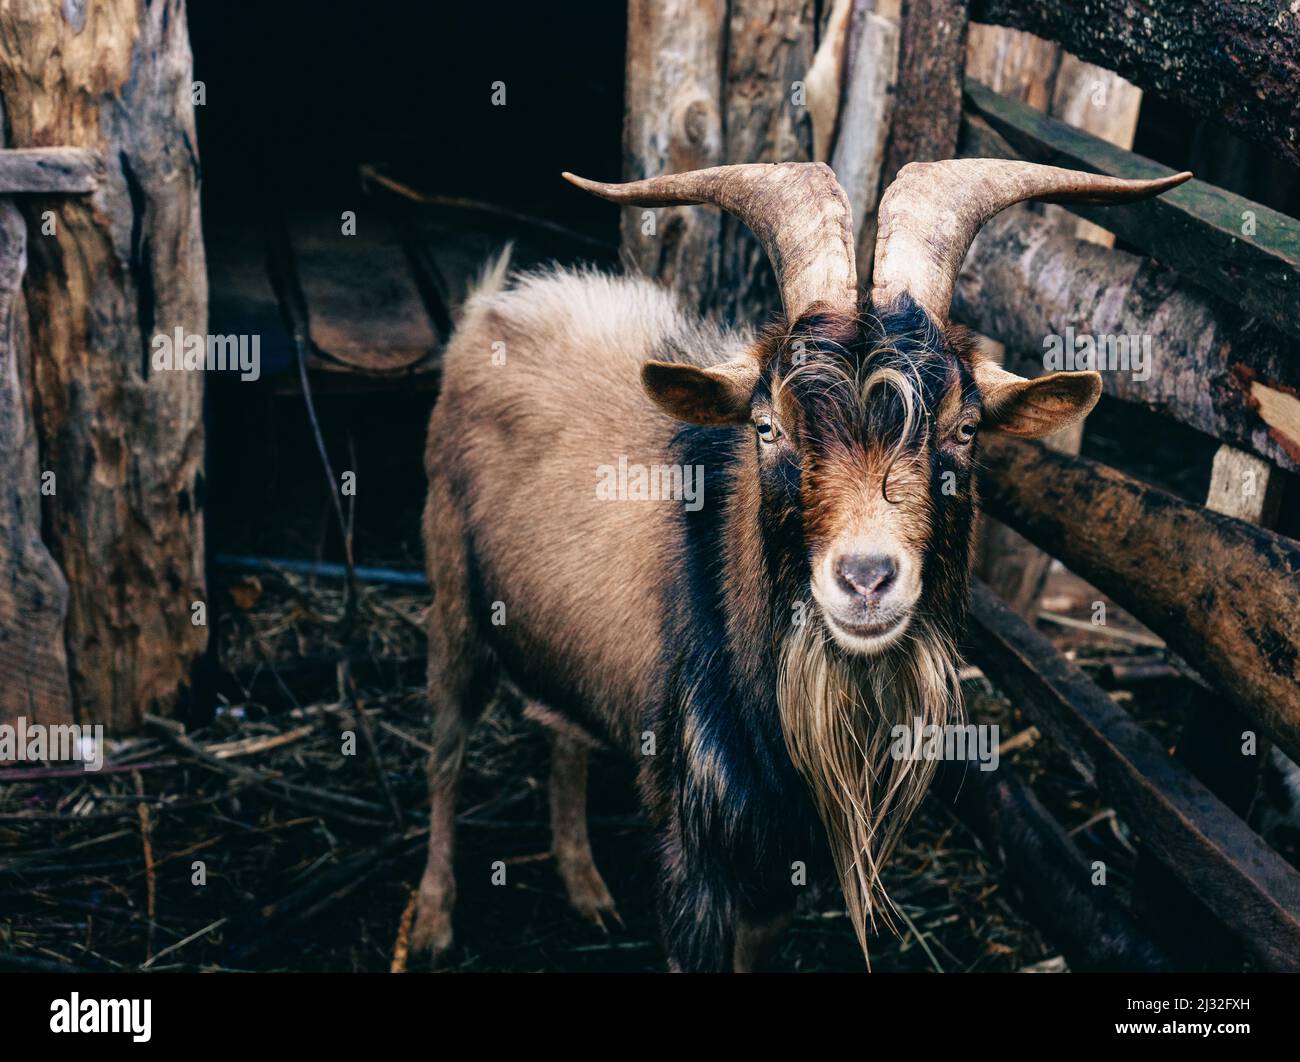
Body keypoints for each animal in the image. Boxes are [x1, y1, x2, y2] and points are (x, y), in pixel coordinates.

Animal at [411, 159, 1190, 971]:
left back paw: (585, 885)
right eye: (766, 425)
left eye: (966, 428)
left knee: (561, 729)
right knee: (445, 751)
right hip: (453, 596)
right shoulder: (693, 851)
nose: (866, 579)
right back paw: (432, 922)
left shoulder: (783, 861)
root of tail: (491, 309)